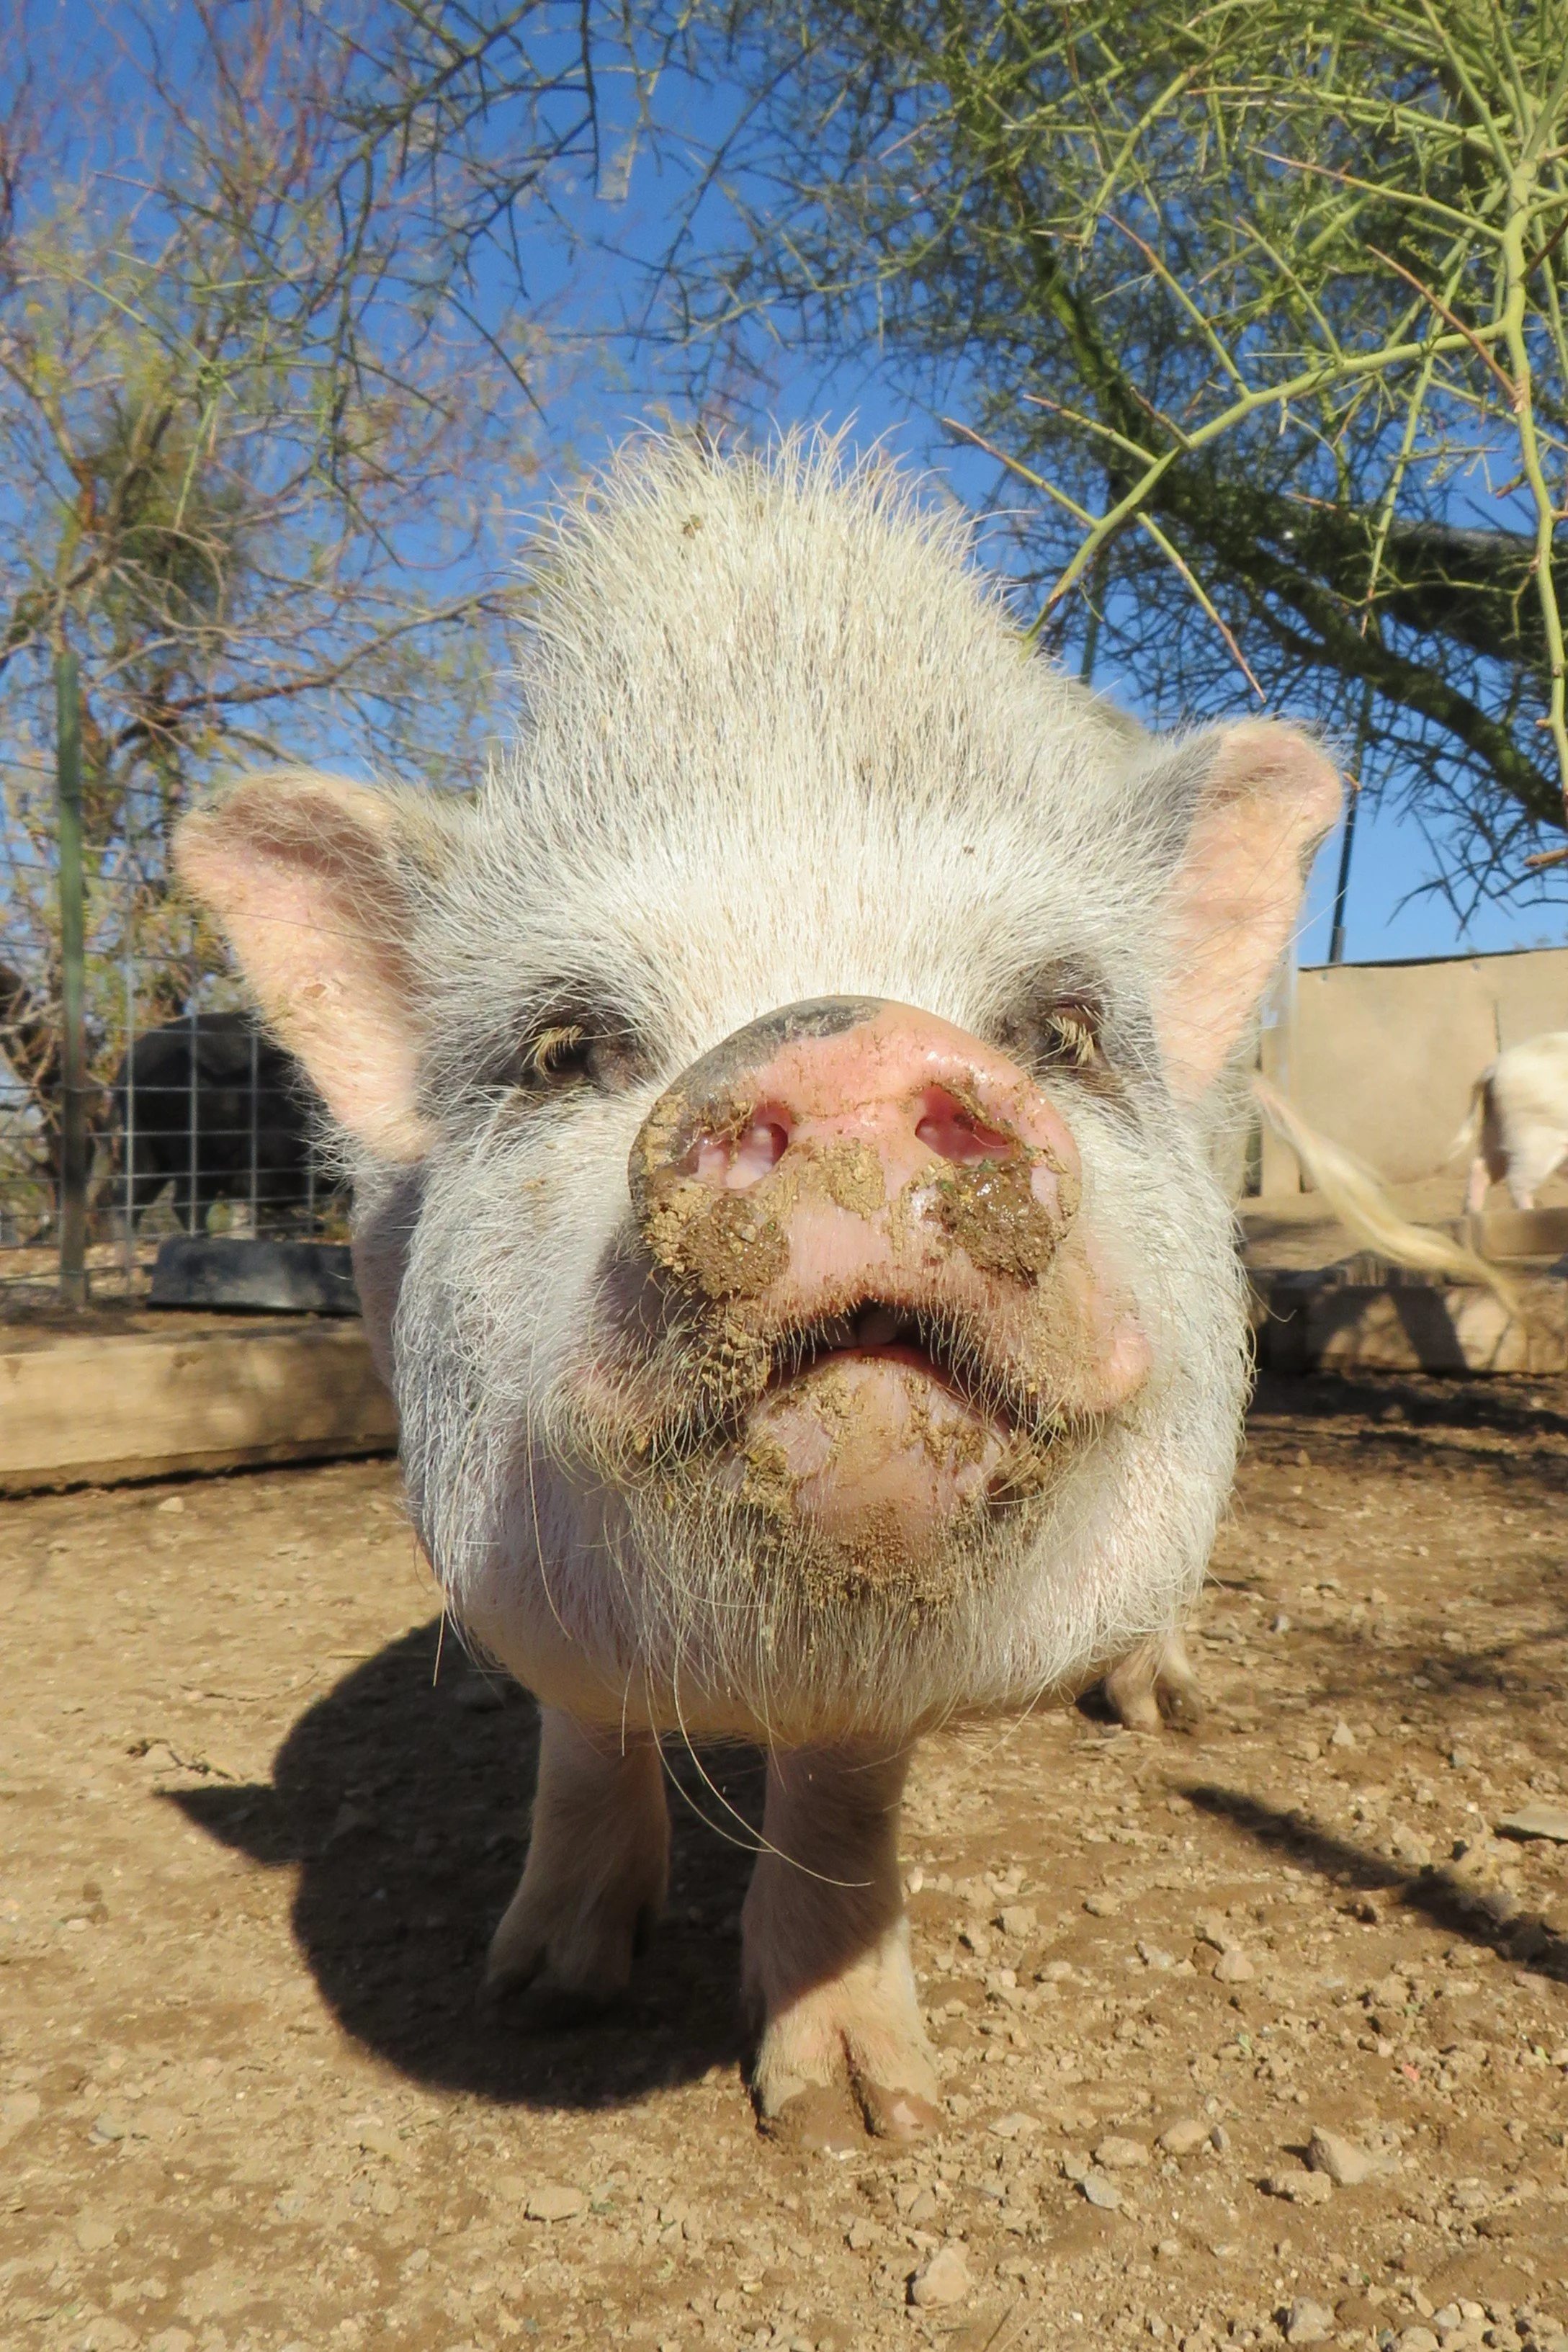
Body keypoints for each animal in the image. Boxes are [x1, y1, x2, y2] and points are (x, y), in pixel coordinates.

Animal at [175, 436, 1342, 2142]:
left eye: (1061, 1031)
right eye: (565, 1050)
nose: (848, 1046)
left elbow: (849, 1782)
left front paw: (855, 2114)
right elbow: (579, 1718)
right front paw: (538, 1992)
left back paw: (1156, 1708)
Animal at [1458, 1031, 1568, 1213]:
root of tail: (1496, 1066)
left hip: (1495, 1128)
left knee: (1480, 1166)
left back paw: (1474, 1214)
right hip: (1535, 1138)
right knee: (1517, 1183)